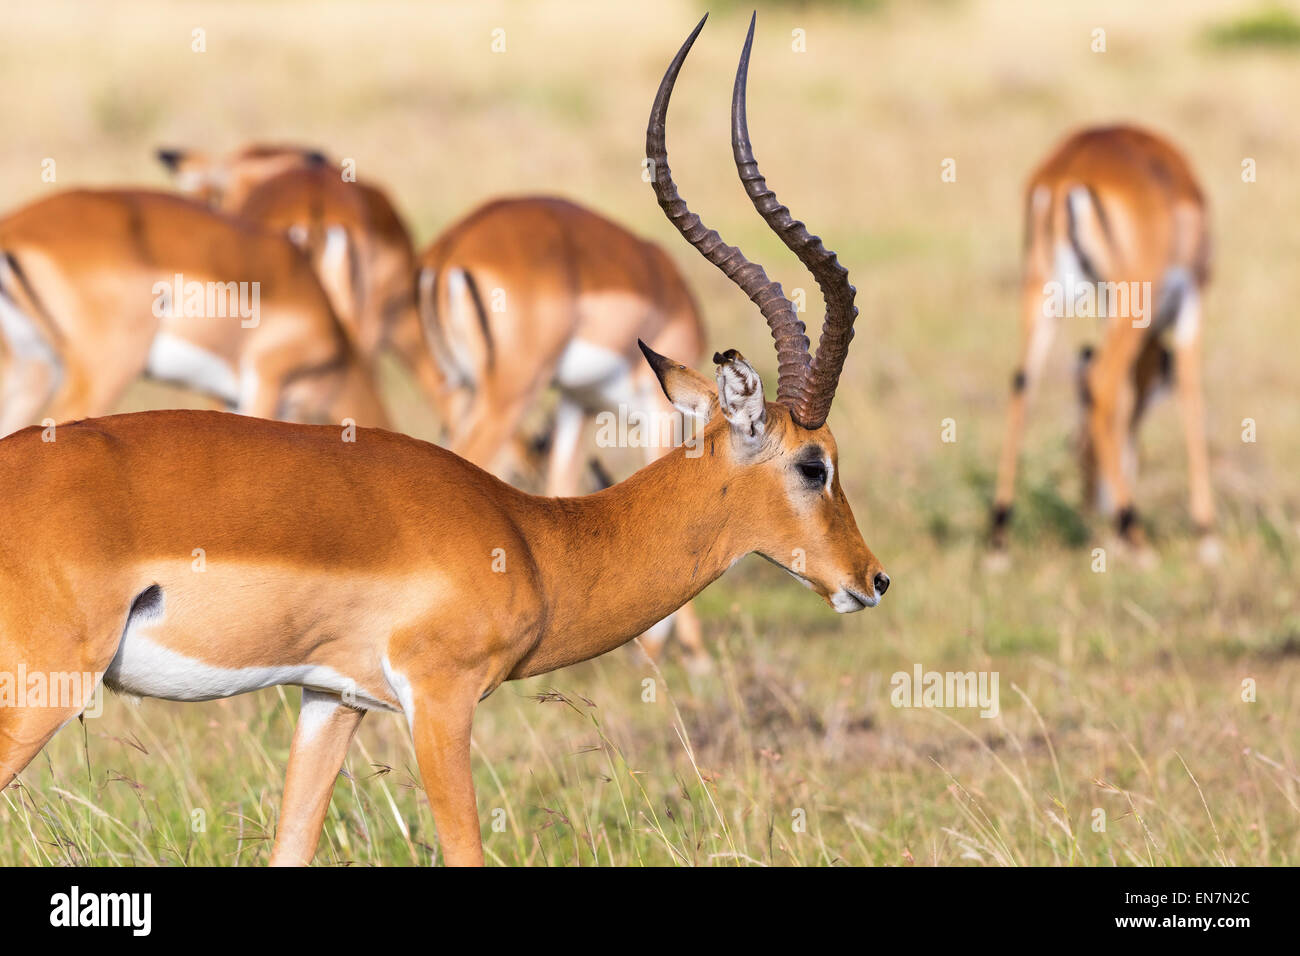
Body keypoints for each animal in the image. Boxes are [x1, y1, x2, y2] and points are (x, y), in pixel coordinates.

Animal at [990, 125, 1216, 562]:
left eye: (1075, 443)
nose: (1088, 502)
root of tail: (1068, 172)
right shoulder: (1189, 306)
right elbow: (1190, 398)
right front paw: (1207, 534)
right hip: (1130, 302)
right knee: (1102, 383)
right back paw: (1135, 534)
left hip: (1041, 294)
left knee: (1023, 383)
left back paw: (999, 539)